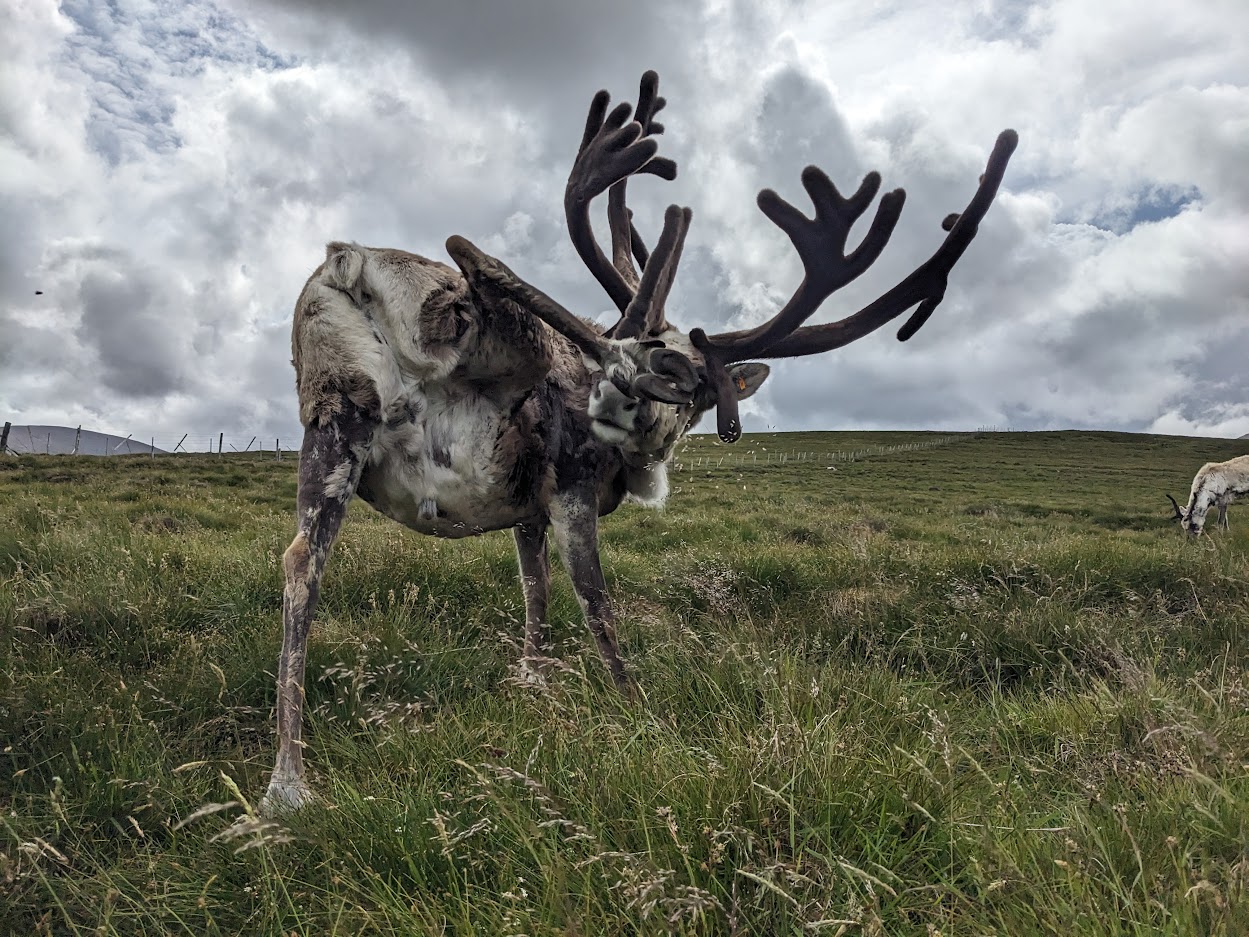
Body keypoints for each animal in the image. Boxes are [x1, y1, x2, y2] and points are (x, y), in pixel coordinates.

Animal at [263, 70, 1018, 814]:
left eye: (701, 389)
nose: (639, 384)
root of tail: (350, 264)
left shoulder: (524, 511)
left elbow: (535, 597)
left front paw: (532, 684)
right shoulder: (569, 486)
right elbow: (594, 602)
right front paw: (638, 714)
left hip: (332, 416)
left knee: (301, 558)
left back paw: (287, 779)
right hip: (483, 347)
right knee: (477, 258)